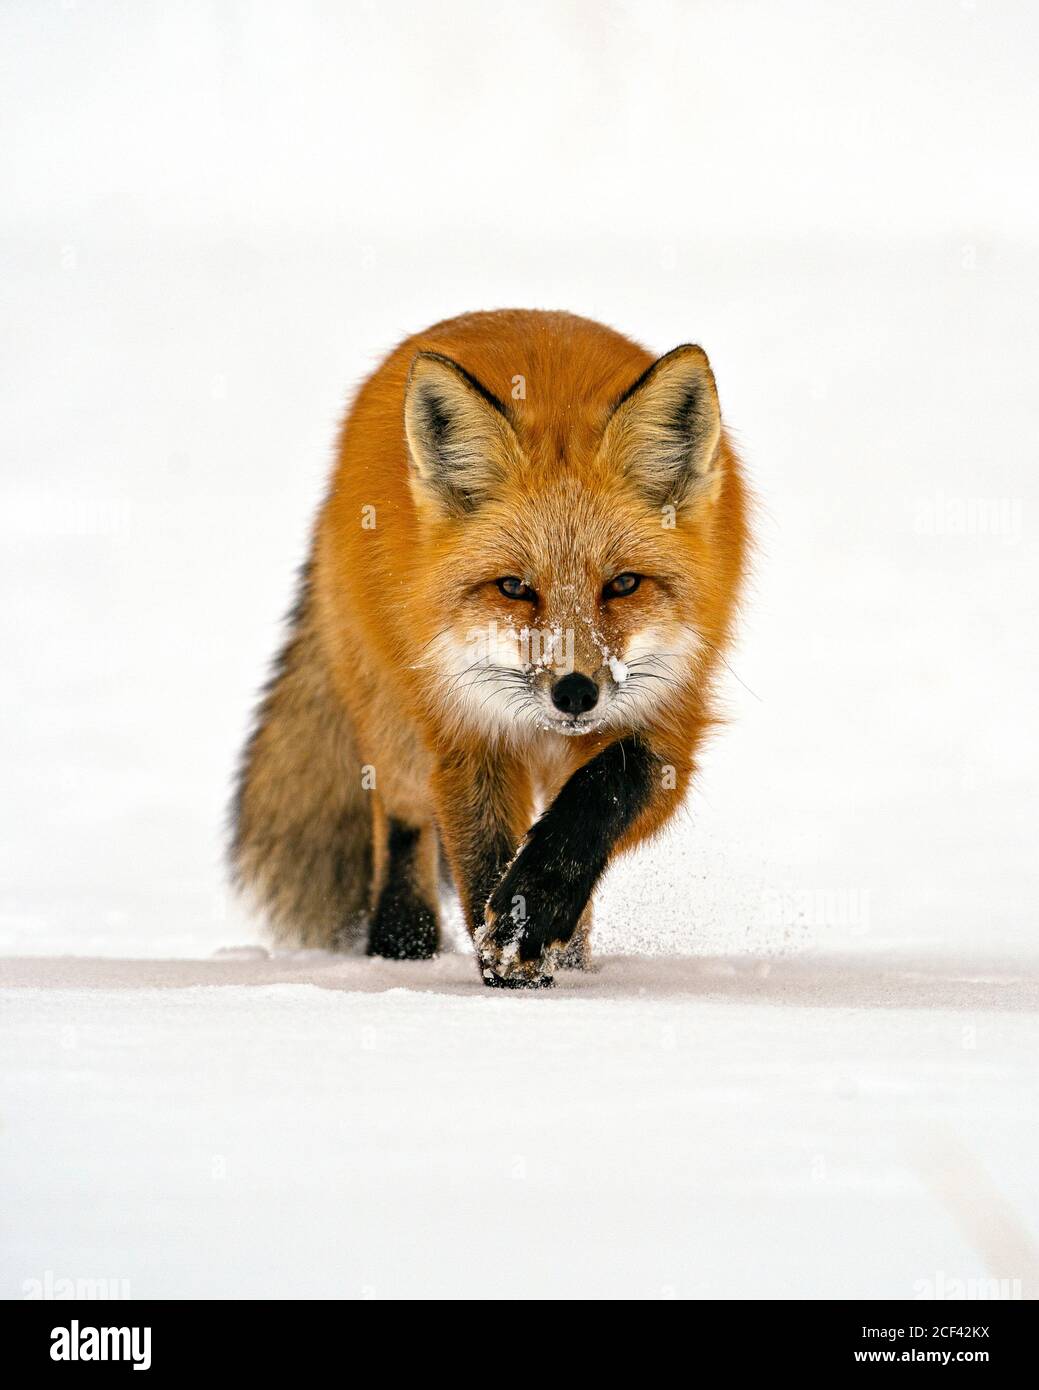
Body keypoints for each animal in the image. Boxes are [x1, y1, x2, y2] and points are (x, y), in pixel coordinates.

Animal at [232, 309, 750, 987]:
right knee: (400, 818)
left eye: (623, 585)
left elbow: (600, 796)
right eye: (514, 588)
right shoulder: (467, 728)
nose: (575, 693)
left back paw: (572, 957)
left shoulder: (669, 719)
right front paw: (509, 971)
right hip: (394, 720)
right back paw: (401, 946)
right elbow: (482, 853)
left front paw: (536, 919)